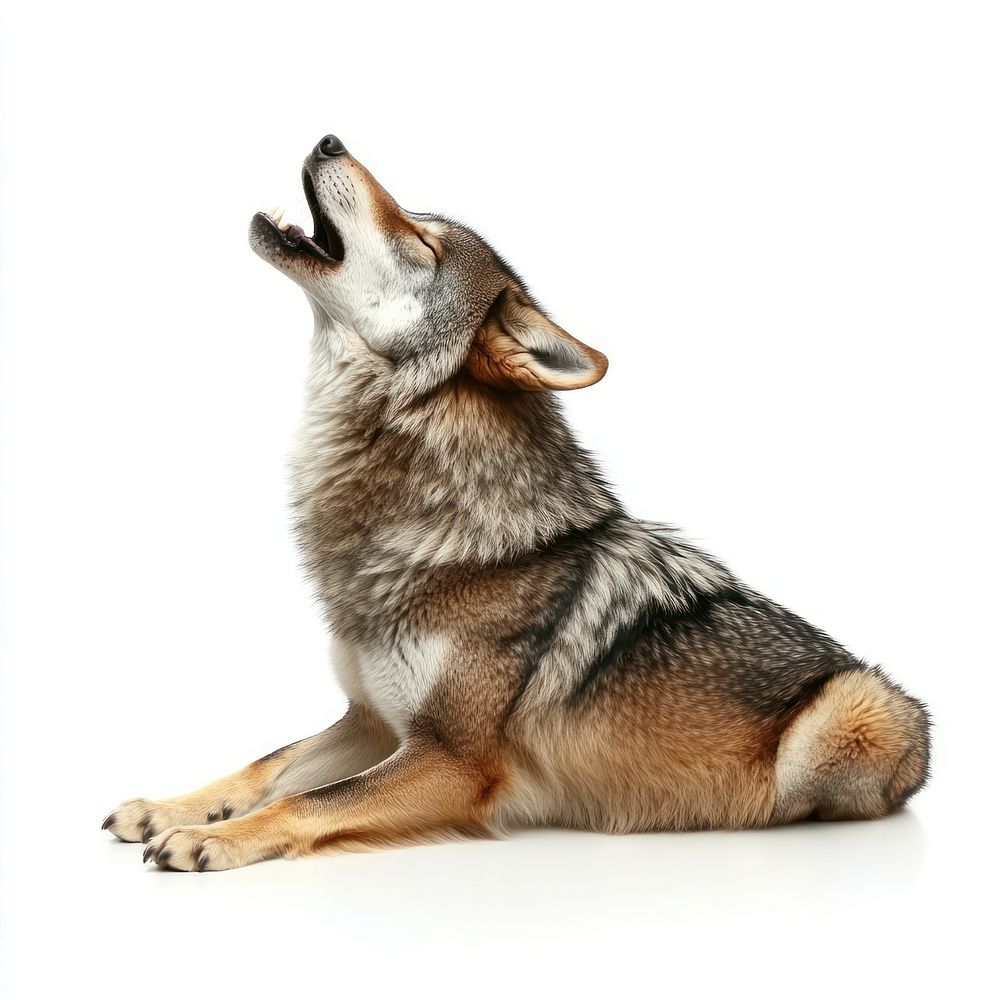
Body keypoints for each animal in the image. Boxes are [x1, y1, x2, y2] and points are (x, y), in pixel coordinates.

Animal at [103, 135, 930, 871]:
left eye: (423, 243)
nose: (330, 139)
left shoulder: (455, 759)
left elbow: (309, 800)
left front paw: (208, 838)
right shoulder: (372, 722)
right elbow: (265, 764)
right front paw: (169, 807)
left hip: (856, 706)